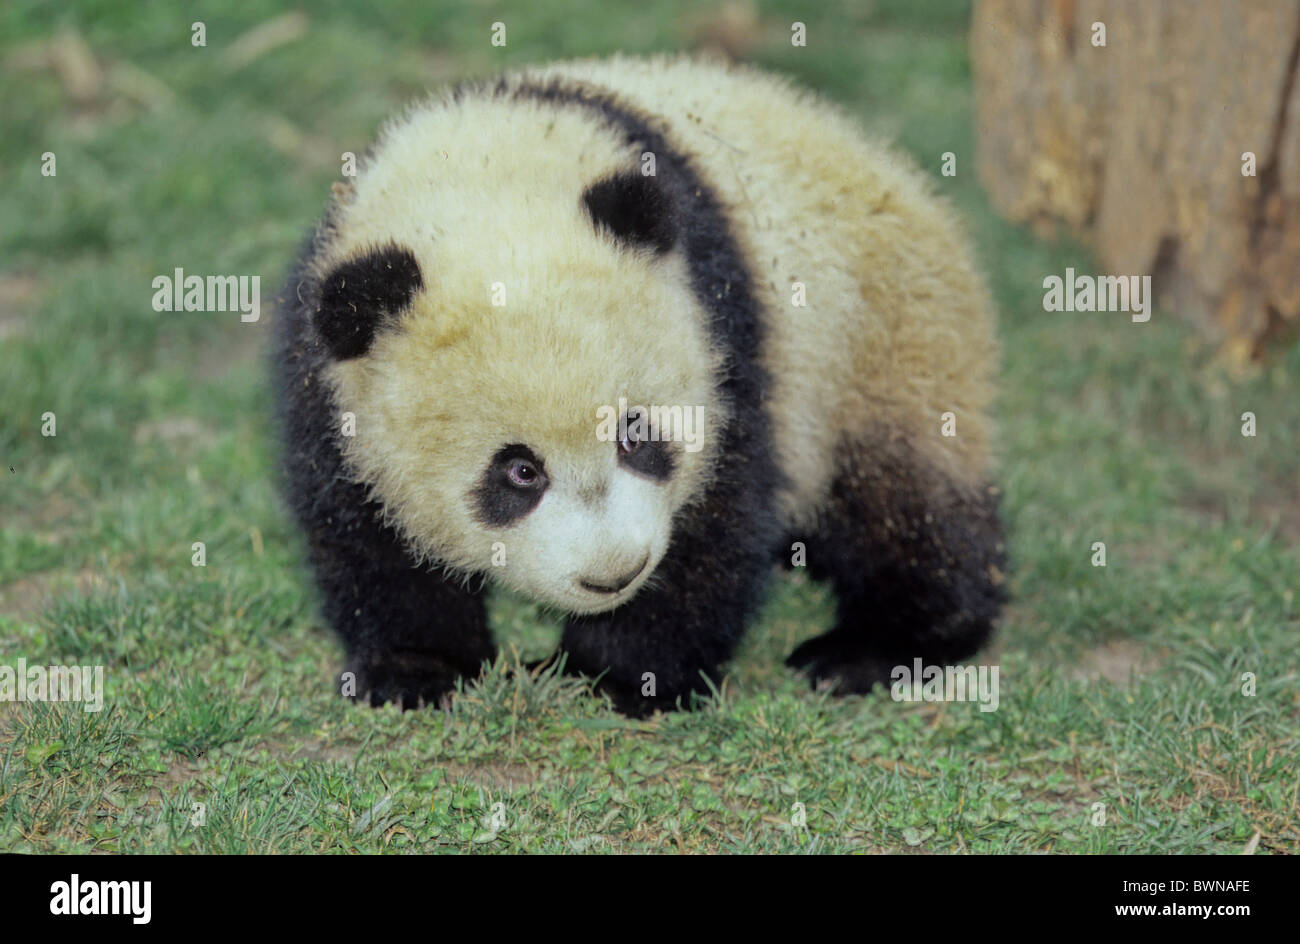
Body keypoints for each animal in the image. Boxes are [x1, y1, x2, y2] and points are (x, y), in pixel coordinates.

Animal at [273, 54, 1006, 717]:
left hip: (880, 346)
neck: (485, 177)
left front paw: (614, 676)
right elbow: (364, 533)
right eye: (518, 472)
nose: (614, 574)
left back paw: (873, 648)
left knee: (903, 506)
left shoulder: (719, 328)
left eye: (634, 432)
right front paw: (416, 670)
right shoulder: (329, 378)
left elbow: (714, 521)